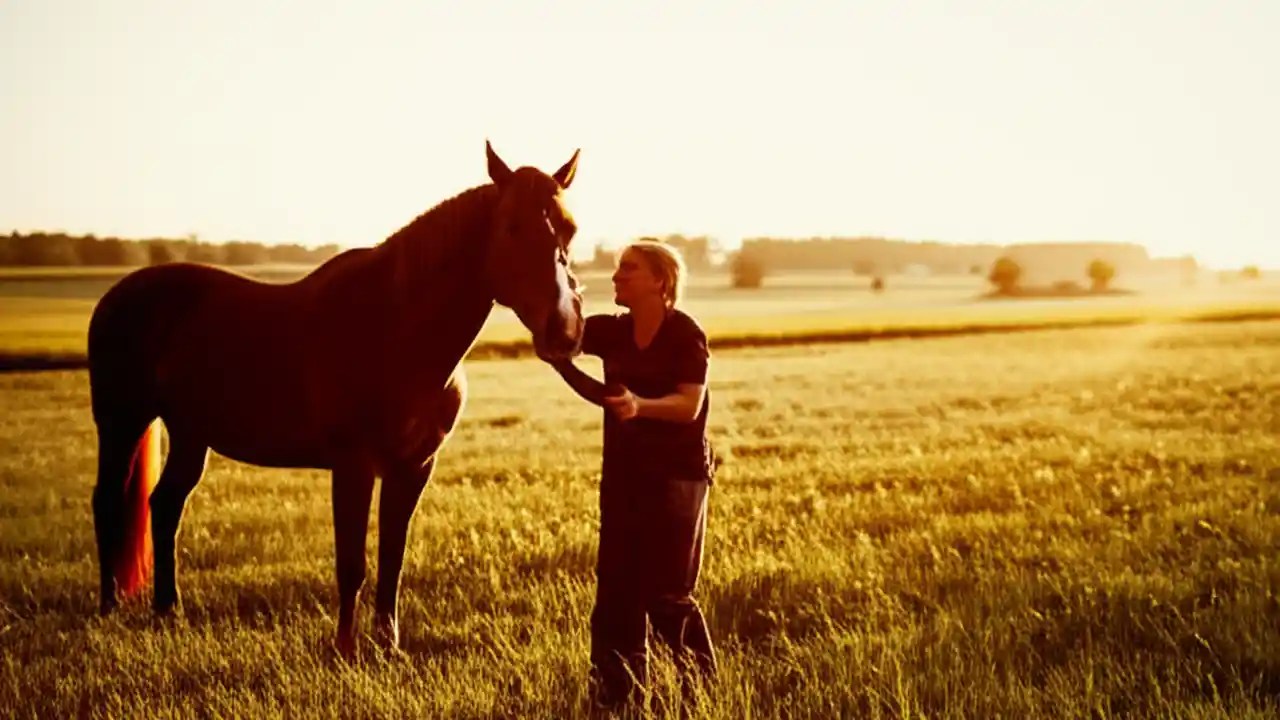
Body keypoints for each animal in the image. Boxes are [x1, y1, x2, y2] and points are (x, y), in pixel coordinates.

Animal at [88, 141, 585, 657]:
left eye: (570, 229)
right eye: (512, 227)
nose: (565, 330)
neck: (394, 329)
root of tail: (119, 295)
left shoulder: (413, 467)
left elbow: (392, 559)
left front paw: (388, 646)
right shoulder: (353, 464)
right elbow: (352, 563)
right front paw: (345, 649)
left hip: (190, 434)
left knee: (165, 504)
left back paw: (169, 610)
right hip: (121, 421)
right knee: (108, 502)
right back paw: (110, 609)